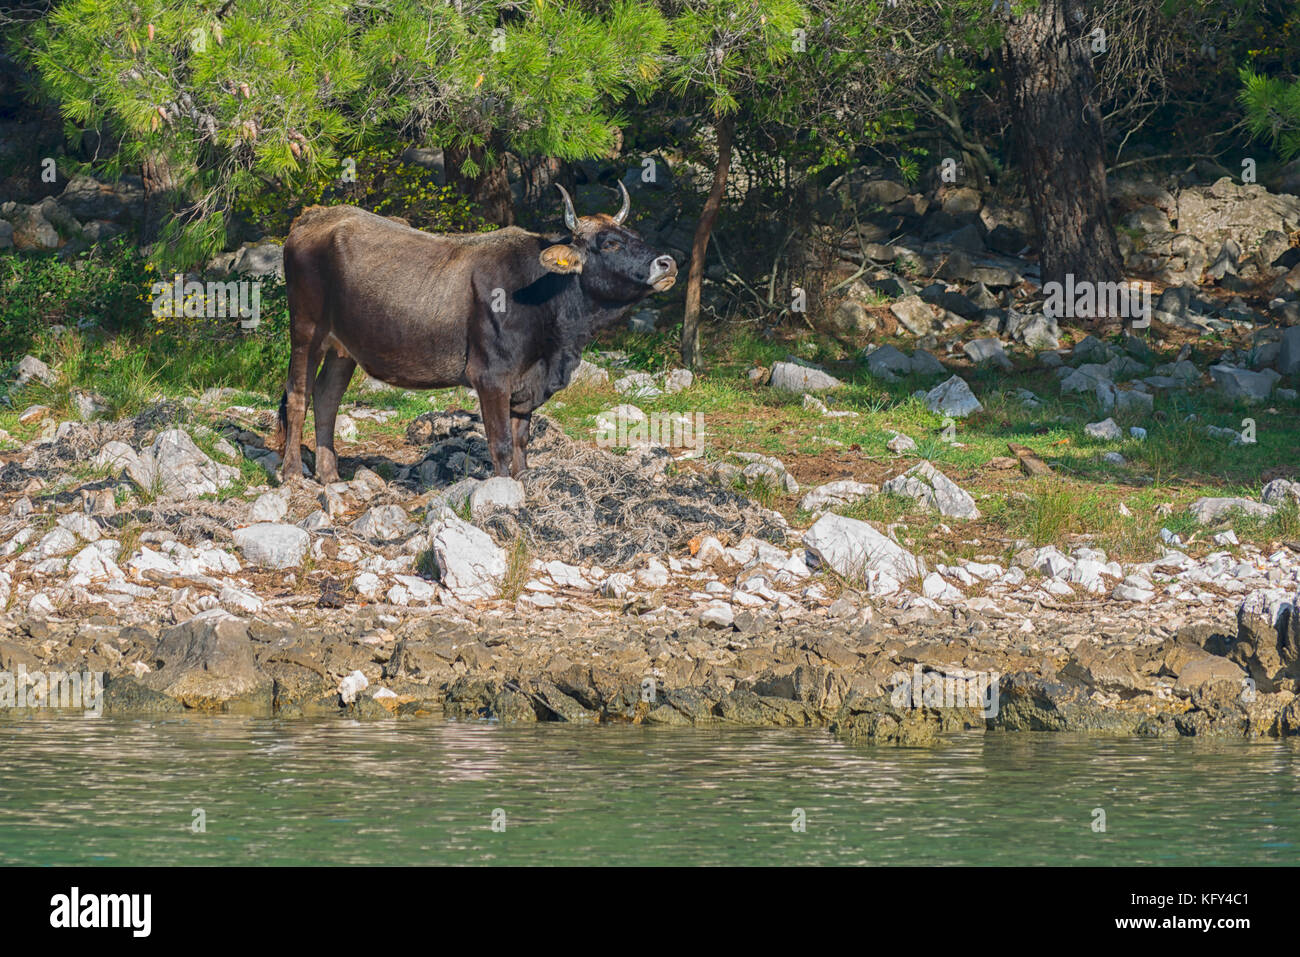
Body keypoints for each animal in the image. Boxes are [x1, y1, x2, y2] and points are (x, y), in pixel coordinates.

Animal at [269, 183, 677, 483]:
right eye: (610, 243)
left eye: (632, 233)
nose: (668, 262)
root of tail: (314, 215)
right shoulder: (490, 376)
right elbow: (499, 443)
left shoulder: (525, 384)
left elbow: (521, 442)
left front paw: (523, 482)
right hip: (305, 330)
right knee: (299, 395)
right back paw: (292, 473)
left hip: (343, 348)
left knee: (326, 398)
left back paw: (329, 475)